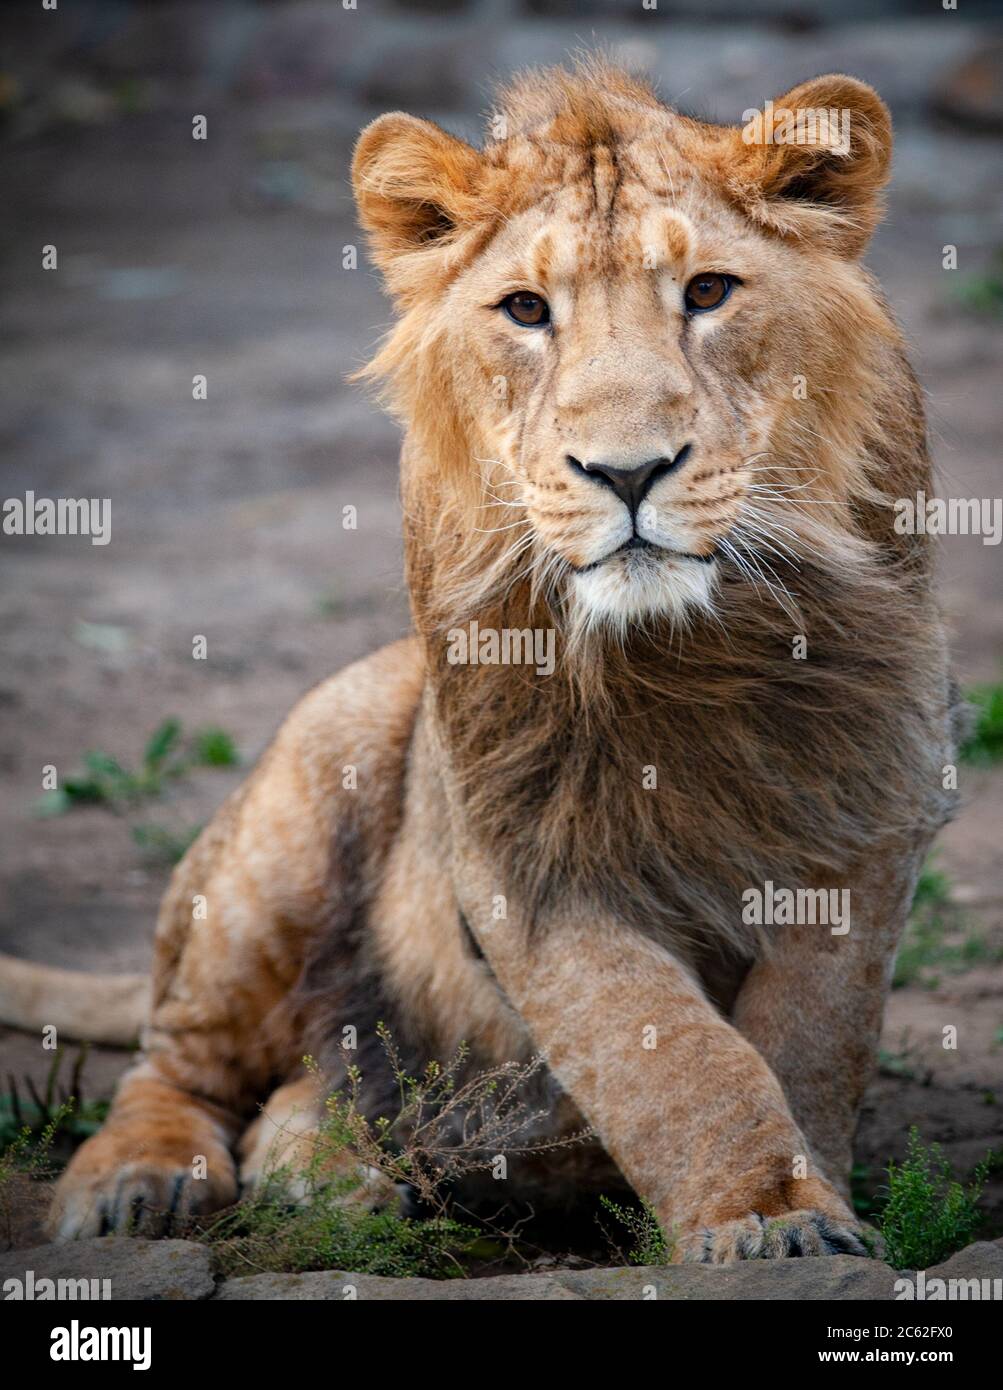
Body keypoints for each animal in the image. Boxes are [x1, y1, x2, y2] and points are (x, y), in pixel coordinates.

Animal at [0, 60, 959, 1263]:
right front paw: (766, 1219)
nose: (626, 471)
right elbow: (671, 1056)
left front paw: (796, 1212)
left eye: (707, 292)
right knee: (182, 1062)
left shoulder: (865, 818)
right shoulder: (524, 856)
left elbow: (807, 1038)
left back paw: (331, 1175)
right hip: (290, 817)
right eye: (526, 311)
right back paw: (139, 1180)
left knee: (301, 1087)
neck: (687, 652)